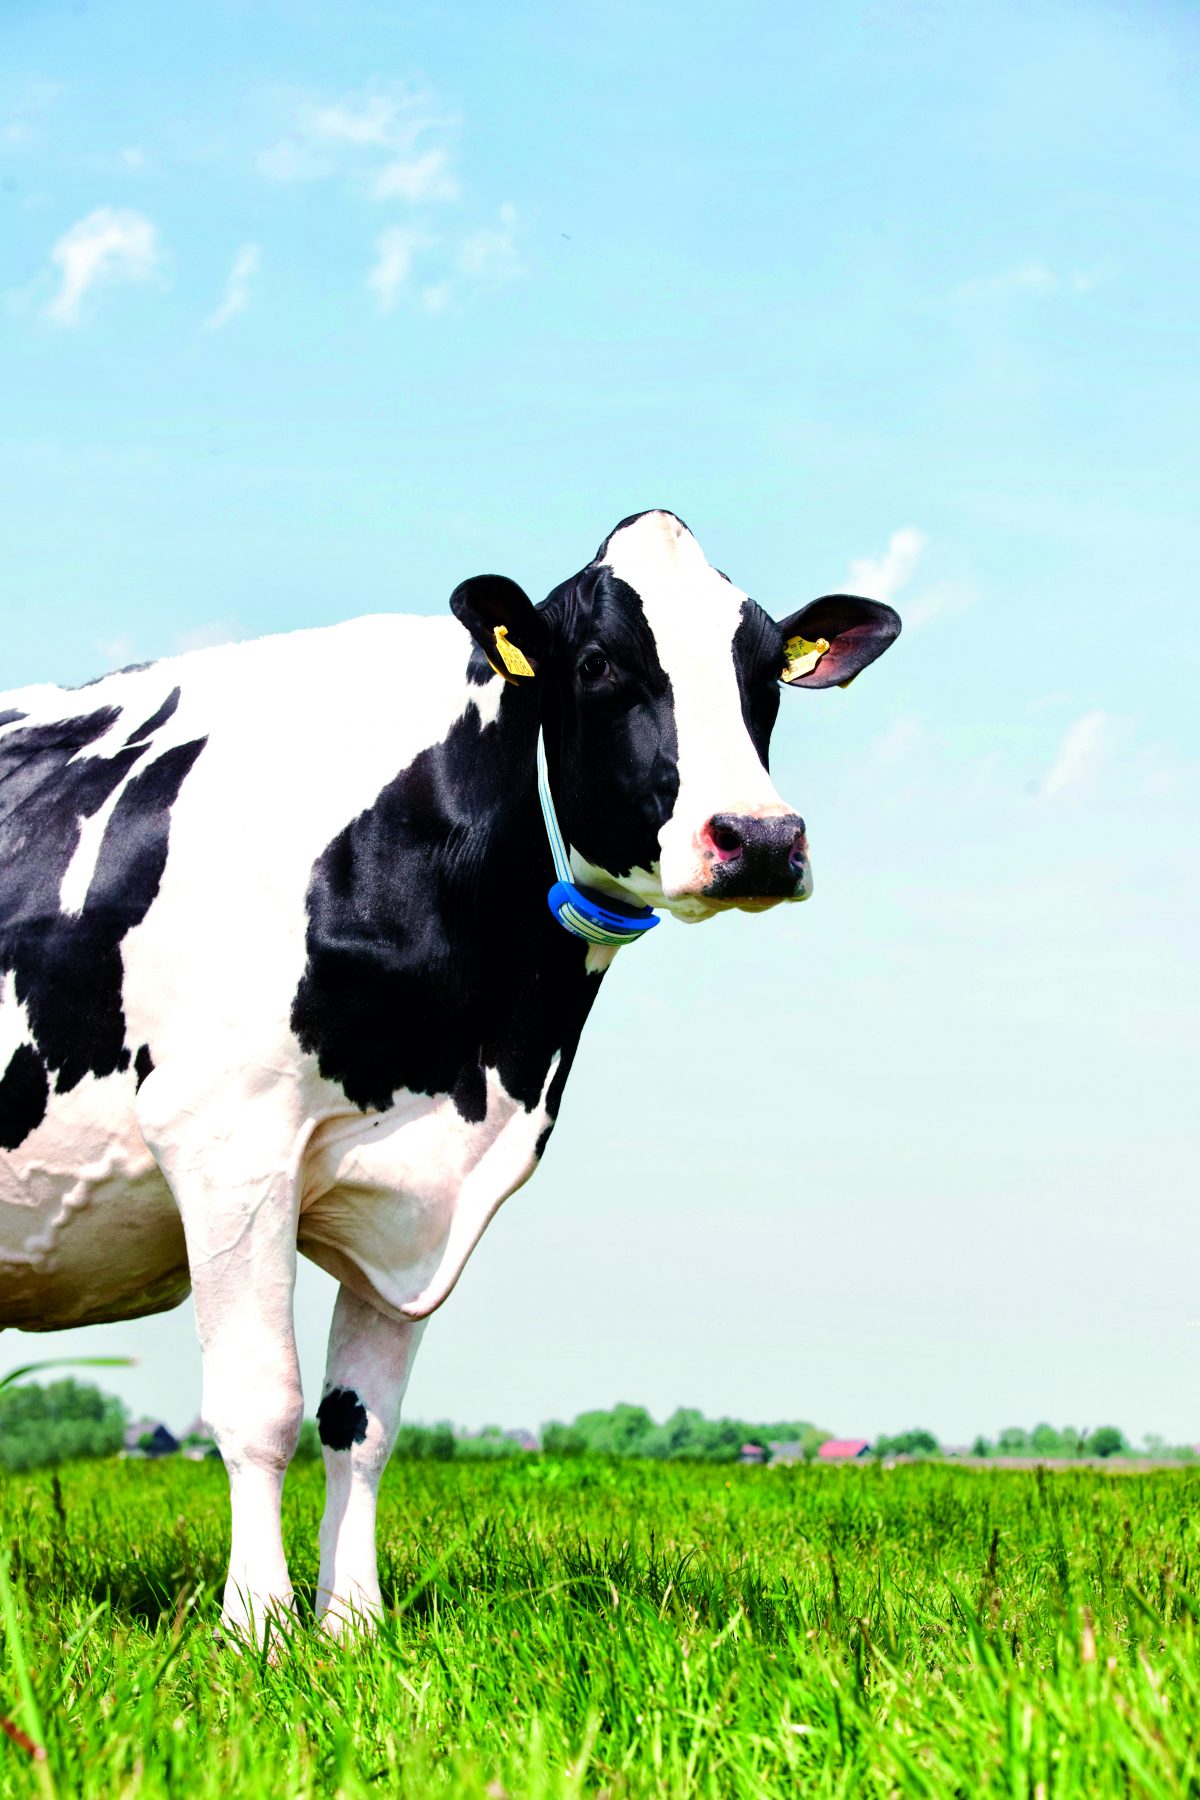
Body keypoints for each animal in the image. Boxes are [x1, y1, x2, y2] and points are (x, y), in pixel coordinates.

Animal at [0, 510, 899, 1639]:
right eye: (599, 663)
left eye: (766, 668)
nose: (762, 837)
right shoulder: (225, 1141)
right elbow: (261, 1404)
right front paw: (257, 1628)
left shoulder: (413, 1189)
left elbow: (361, 1422)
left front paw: (352, 1626)